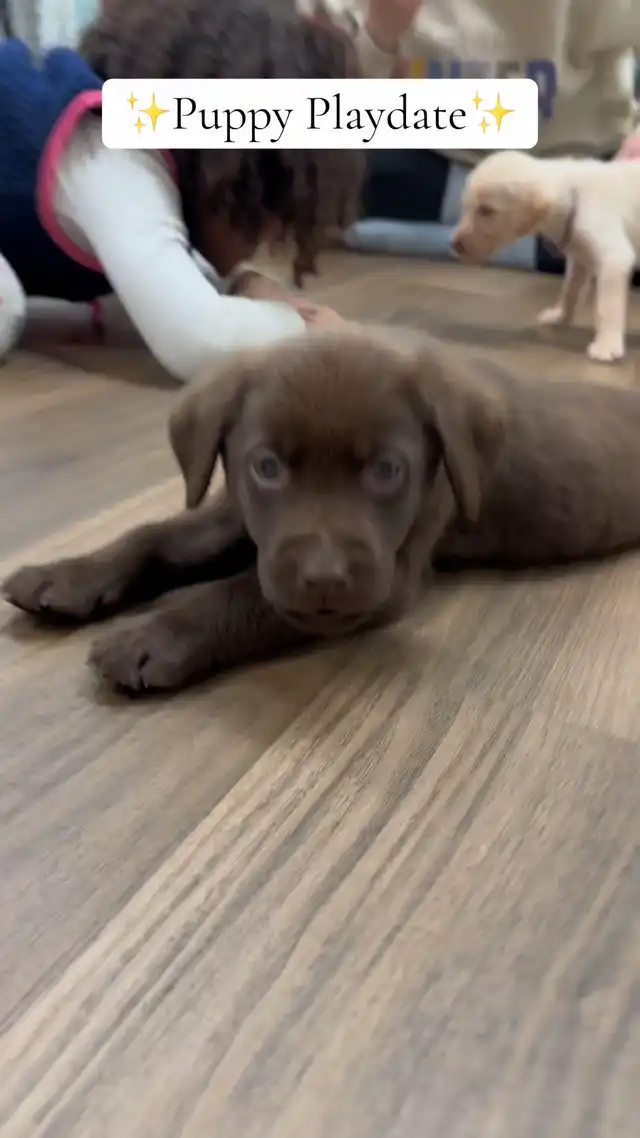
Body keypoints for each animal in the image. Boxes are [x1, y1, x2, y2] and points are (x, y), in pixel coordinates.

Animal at [5, 329, 640, 694]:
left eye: (387, 470)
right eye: (266, 467)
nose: (326, 577)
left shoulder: (384, 580)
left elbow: (242, 593)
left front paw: (153, 635)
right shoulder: (238, 515)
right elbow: (156, 537)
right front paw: (67, 575)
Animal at [451, 150, 640, 363]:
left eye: (486, 210)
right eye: (466, 206)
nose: (454, 245)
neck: (572, 194)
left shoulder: (615, 258)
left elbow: (607, 307)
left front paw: (607, 345)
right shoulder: (579, 258)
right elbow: (570, 290)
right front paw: (559, 316)